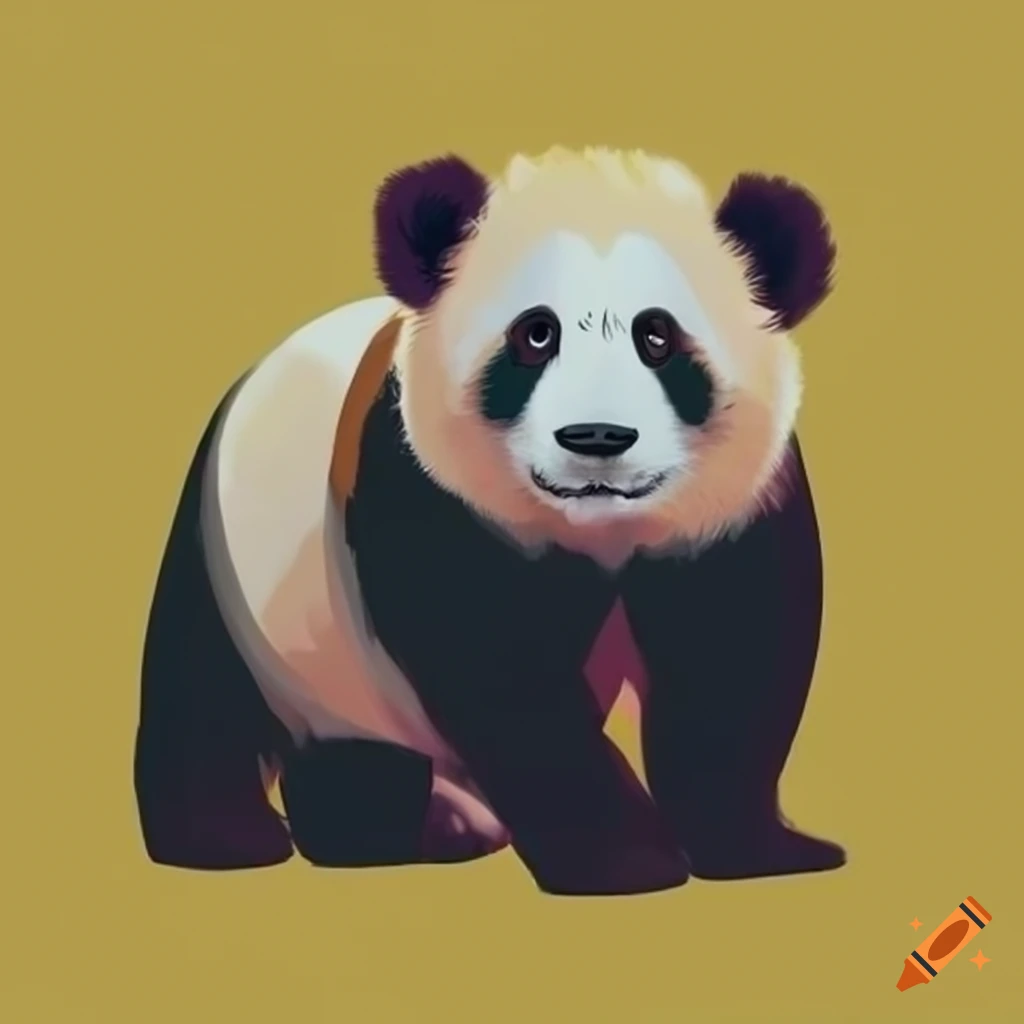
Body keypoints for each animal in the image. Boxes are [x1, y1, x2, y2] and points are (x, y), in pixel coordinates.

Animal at [134, 145, 846, 897]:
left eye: (658, 337)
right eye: (536, 334)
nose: (596, 437)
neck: (600, 530)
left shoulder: (733, 509)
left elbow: (729, 666)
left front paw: (760, 852)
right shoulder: (429, 488)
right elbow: (506, 684)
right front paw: (623, 861)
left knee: (354, 759)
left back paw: (398, 837)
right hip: (239, 562)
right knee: (200, 689)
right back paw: (228, 840)